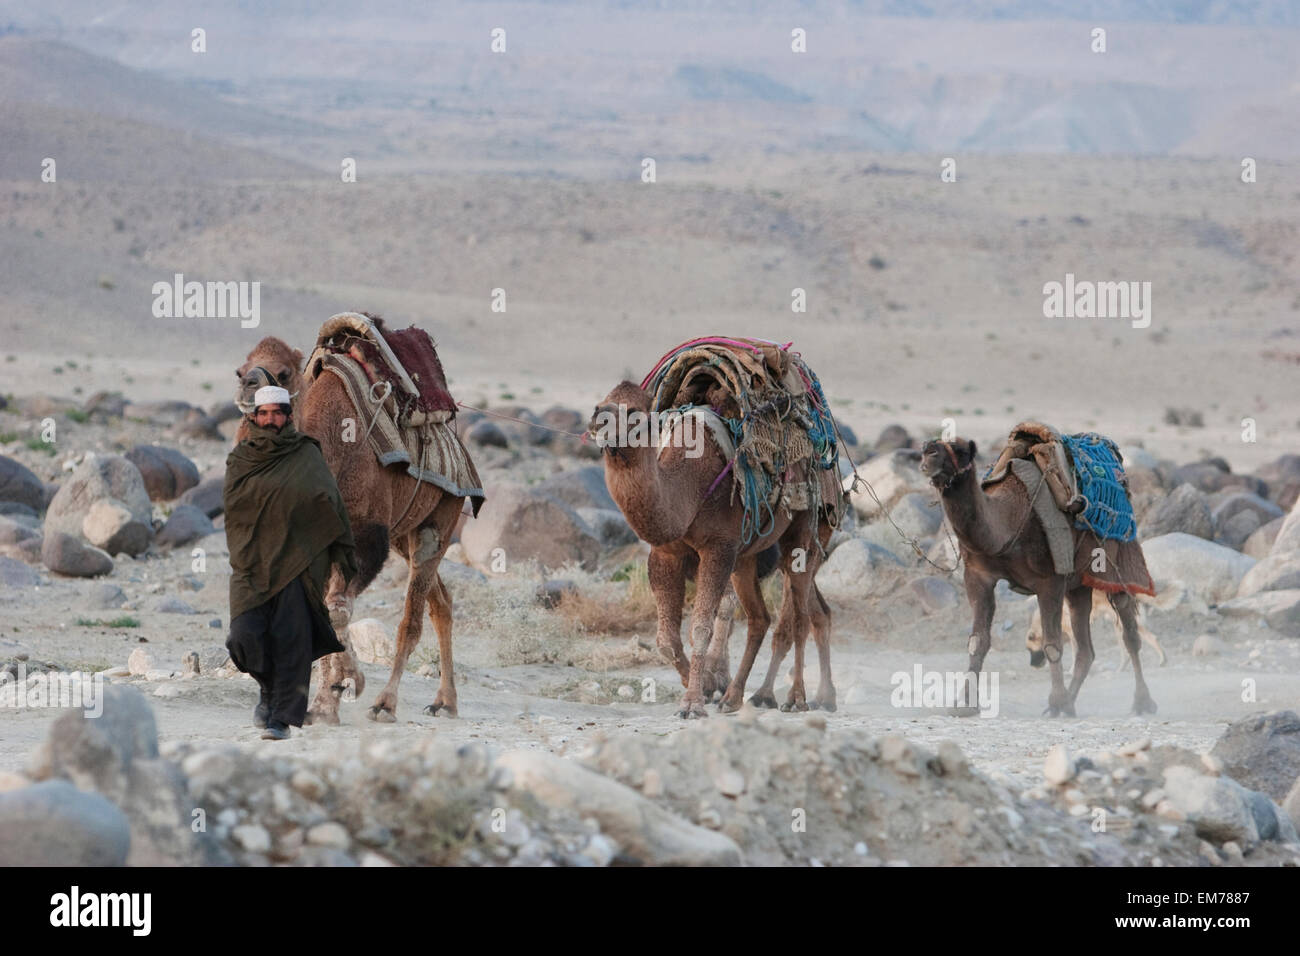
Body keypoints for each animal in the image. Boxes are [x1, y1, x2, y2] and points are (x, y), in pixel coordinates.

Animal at [232, 323, 470, 723]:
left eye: (283, 373)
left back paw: (387, 703)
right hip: (404, 534)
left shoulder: (367, 534)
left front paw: (348, 686)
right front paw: (325, 703)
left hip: (441, 516)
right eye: (240, 369)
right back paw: (445, 701)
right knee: (441, 601)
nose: (249, 386)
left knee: (412, 618)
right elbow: (324, 614)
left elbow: (337, 610)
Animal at [591, 380, 838, 718]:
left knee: (798, 616)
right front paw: (706, 686)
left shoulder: (718, 549)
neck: (687, 485)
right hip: (748, 557)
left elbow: (701, 627)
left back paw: (794, 698)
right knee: (769, 617)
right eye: (602, 401)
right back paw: (743, 697)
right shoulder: (667, 553)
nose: (597, 418)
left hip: (804, 530)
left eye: (635, 411)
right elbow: (666, 638)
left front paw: (693, 703)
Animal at [919, 438, 1157, 717]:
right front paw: (964, 705)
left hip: (1118, 561)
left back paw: (1142, 703)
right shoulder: (978, 575)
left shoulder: (1050, 581)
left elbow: (1052, 644)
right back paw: (1071, 704)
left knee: (1129, 633)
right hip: (1078, 585)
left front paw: (1056, 703)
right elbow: (978, 641)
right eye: (926, 448)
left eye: (960, 451)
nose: (929, 455)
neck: (1008, 520)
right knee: (1085, 648)